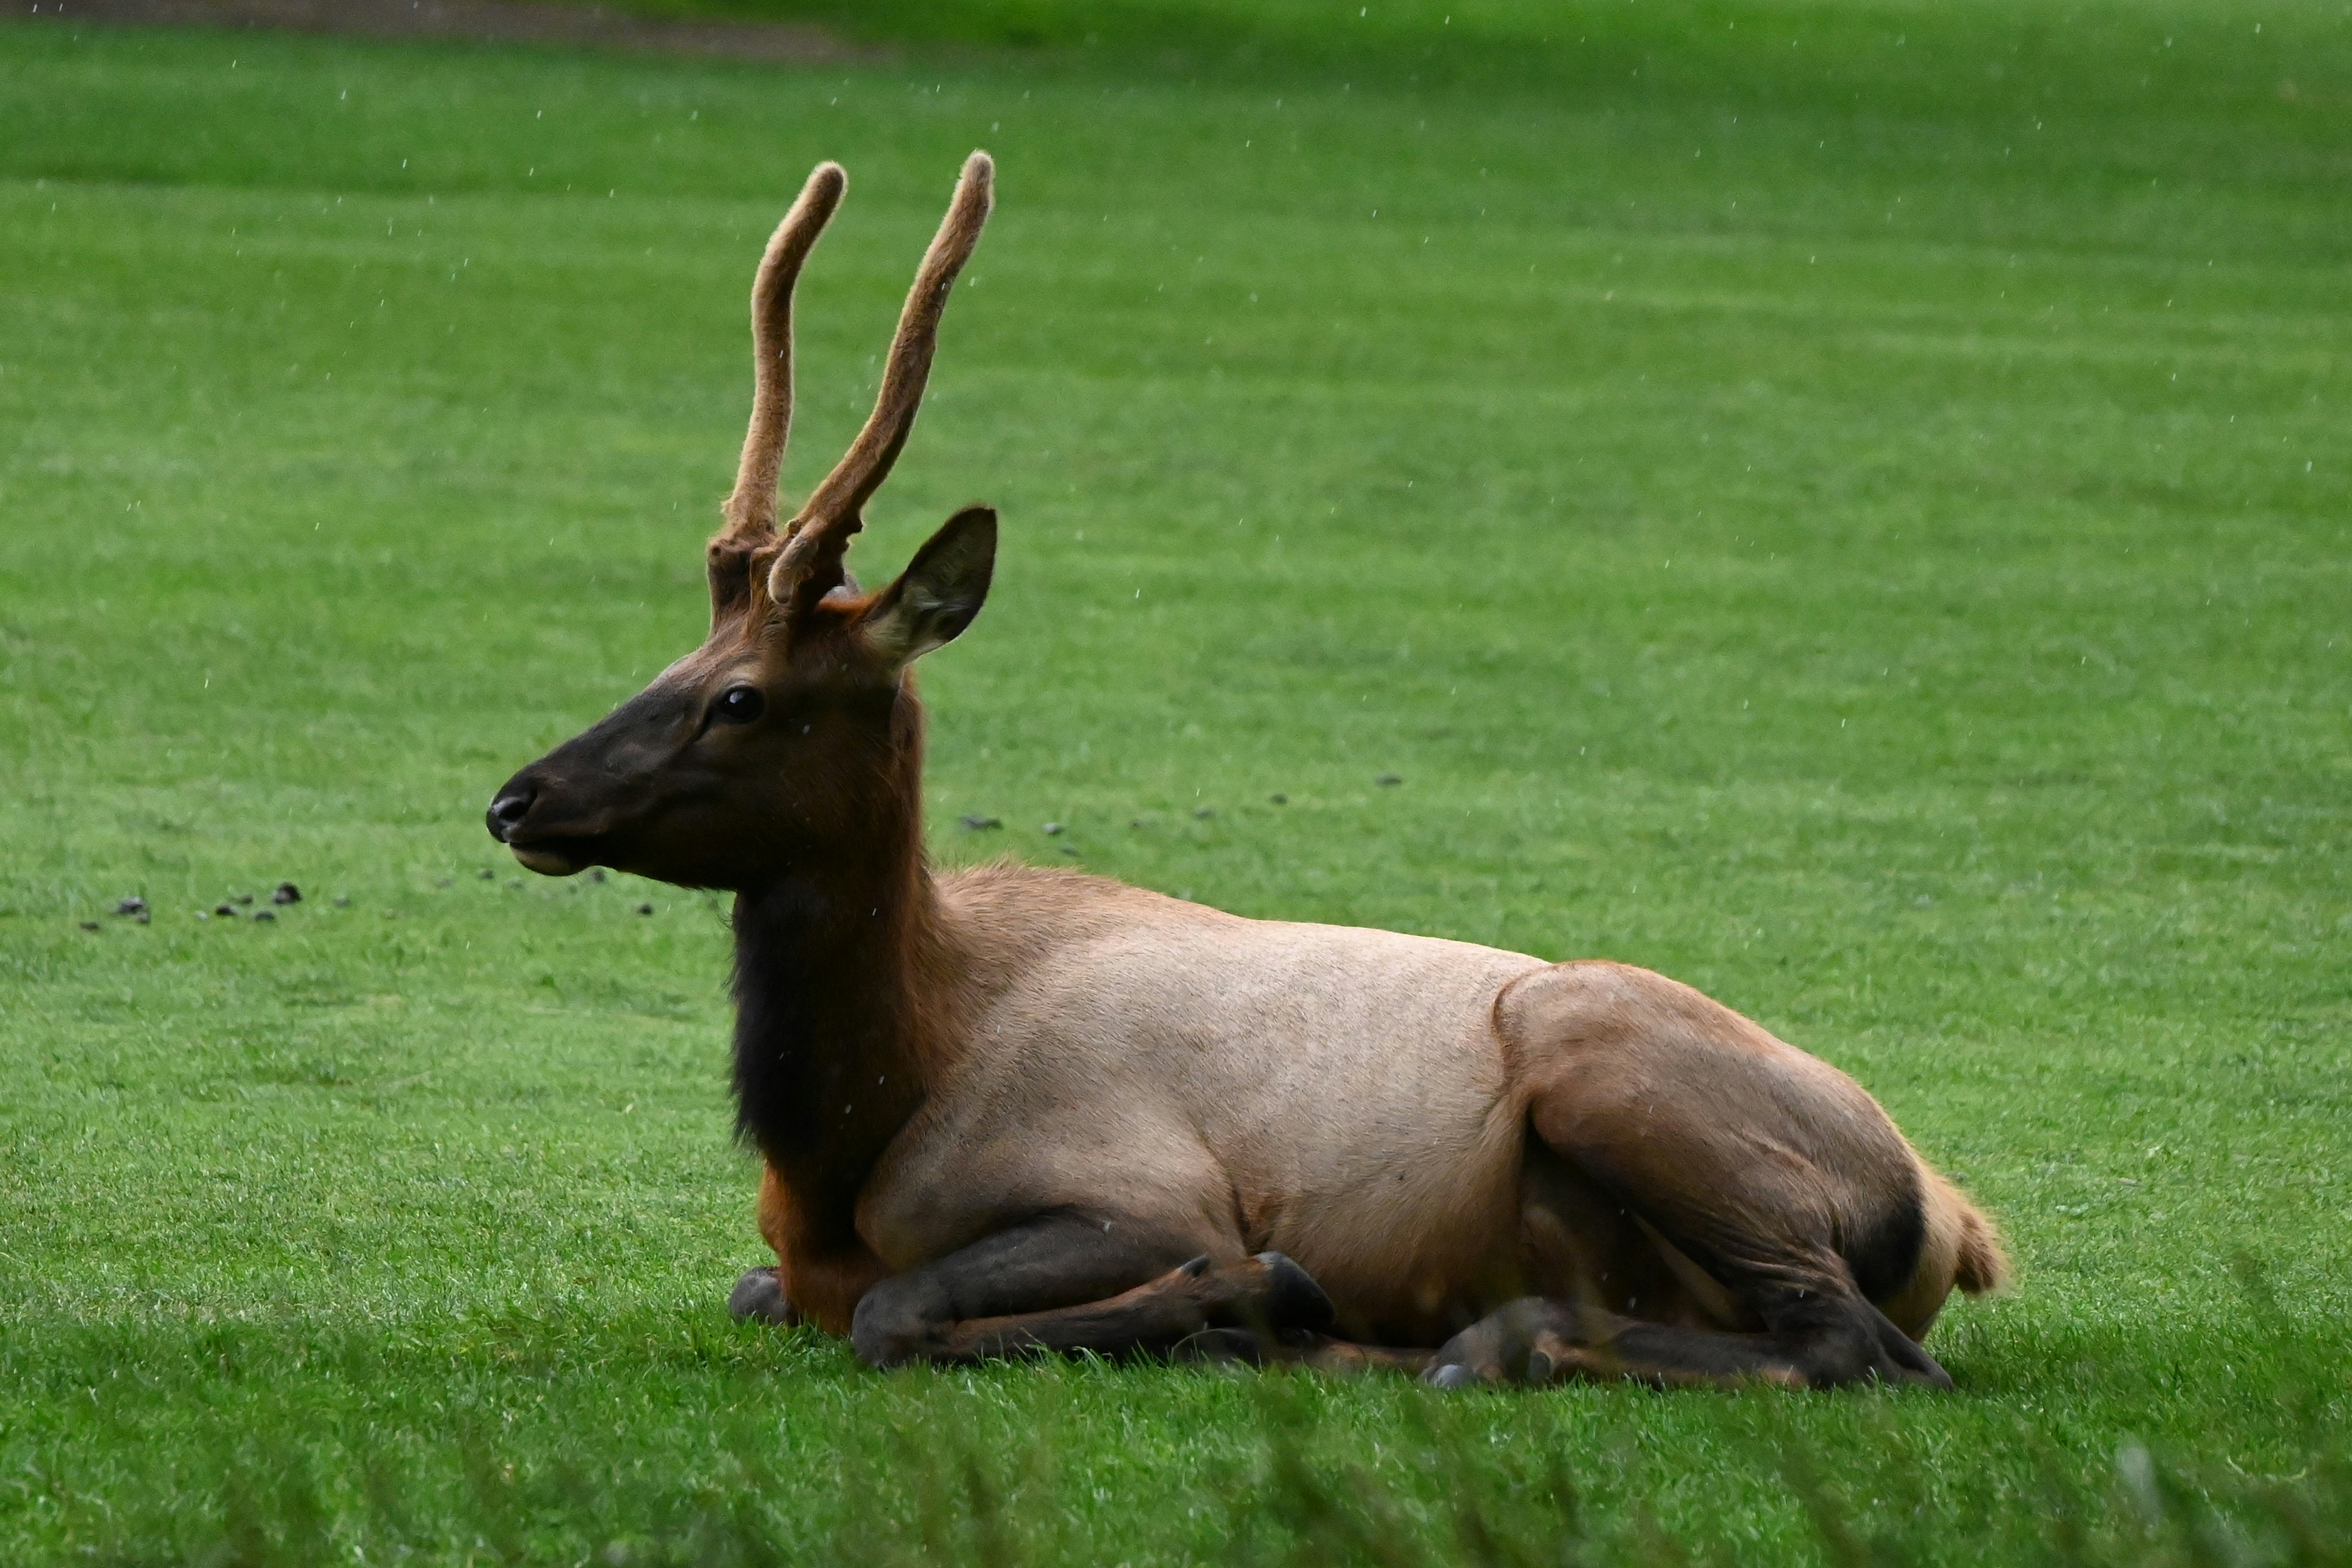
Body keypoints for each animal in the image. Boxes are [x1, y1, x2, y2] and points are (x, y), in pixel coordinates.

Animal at [486, 152, 2008, 1390]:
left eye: (740, 697)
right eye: (677, 656)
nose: (518, 797)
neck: (857, 1120)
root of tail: (1952, 1214)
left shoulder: (1139, 1188)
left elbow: (897, 1312)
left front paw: (1241, 1291)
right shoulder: (783, 1259)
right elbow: (766, 1292)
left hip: (1610, 1063)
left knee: (1856, 1345)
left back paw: (1465, 1337)